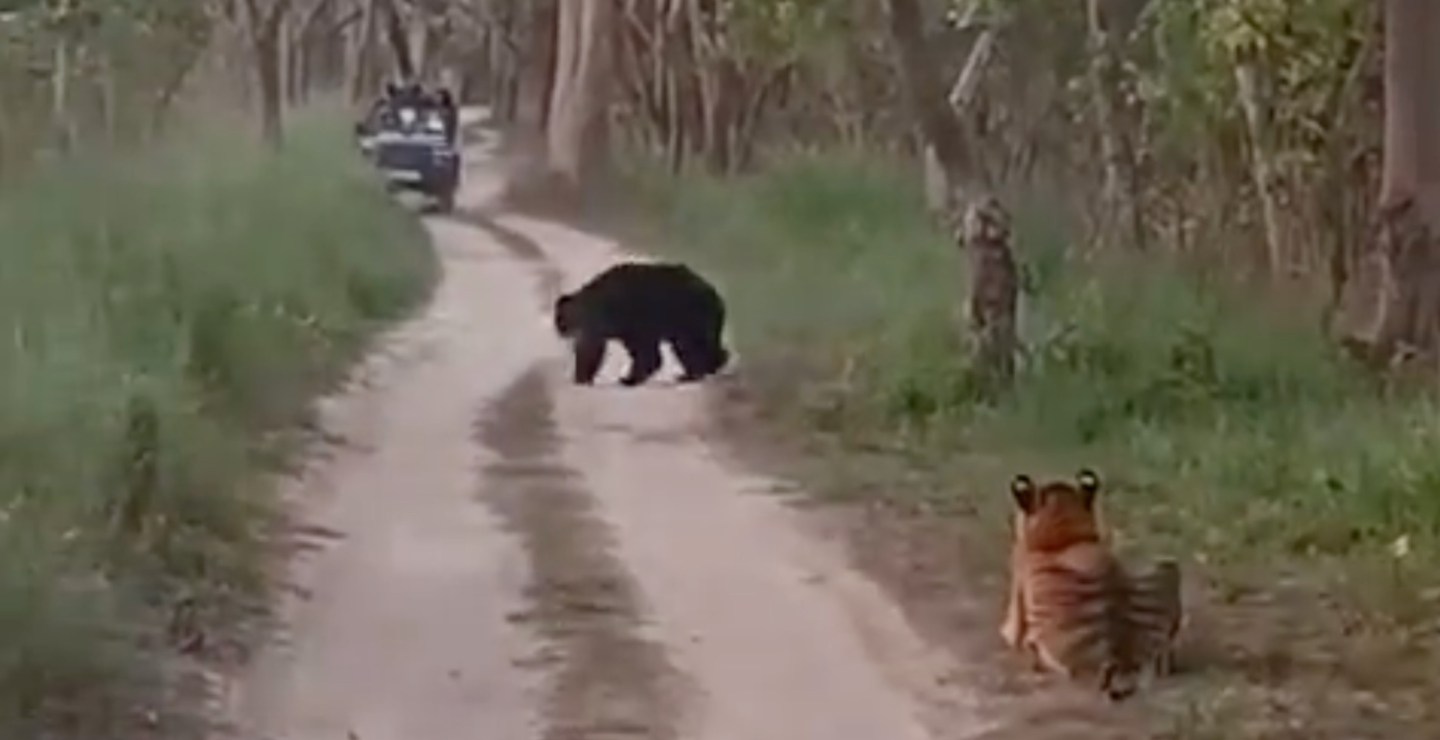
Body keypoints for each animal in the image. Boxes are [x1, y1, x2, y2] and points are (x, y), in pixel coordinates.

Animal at [553, 261, 731, 387]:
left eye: (560, 319)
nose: (560, 331)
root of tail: (716, 295)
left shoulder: (625, 318)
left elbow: (592, 347)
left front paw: (626, 379)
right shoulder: (624, 327)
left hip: (688, 316)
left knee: (692, 345)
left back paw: (697, 371)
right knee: (691, 347)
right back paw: (699, 370)